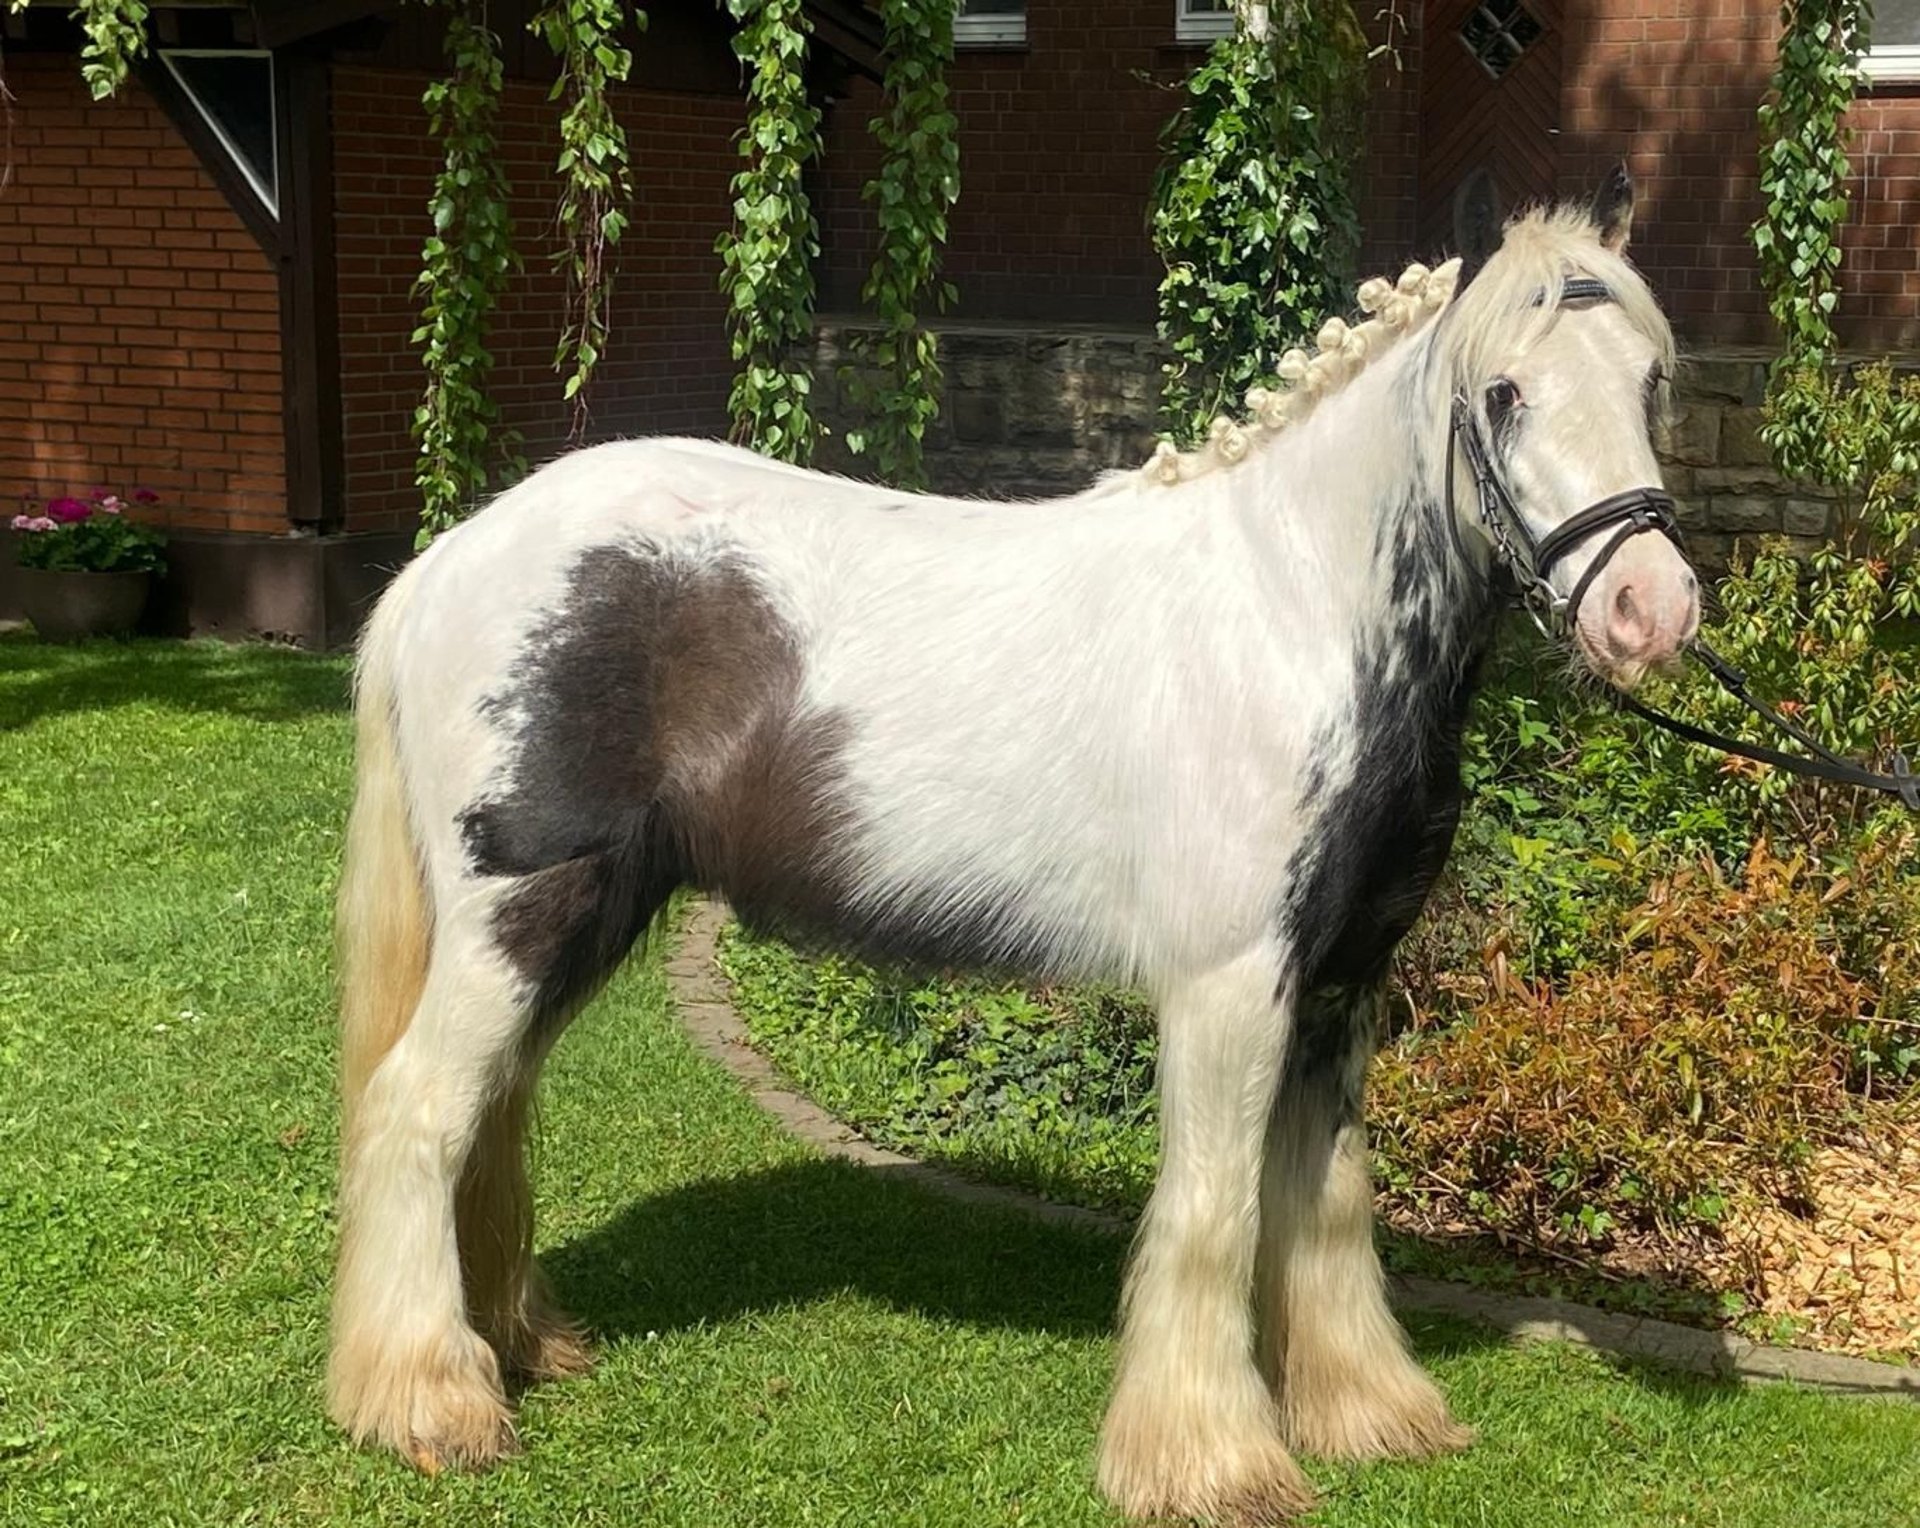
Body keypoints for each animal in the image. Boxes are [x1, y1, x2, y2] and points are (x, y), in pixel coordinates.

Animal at [328, 171, 1698, 1523]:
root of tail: (446, 565)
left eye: (1647, 380)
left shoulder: (1340, 989)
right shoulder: (1229, 987)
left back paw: (511, 1345)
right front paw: (1212, 1460)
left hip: (585, 915)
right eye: (1504, 392)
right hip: (522, 916)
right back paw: (427, 1399)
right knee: (417, 1110)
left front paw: (1368, 1412)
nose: (1653, 610)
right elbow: (1216, 1208)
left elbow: (1326, 1203)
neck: (1289, 612)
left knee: (489, 1116)